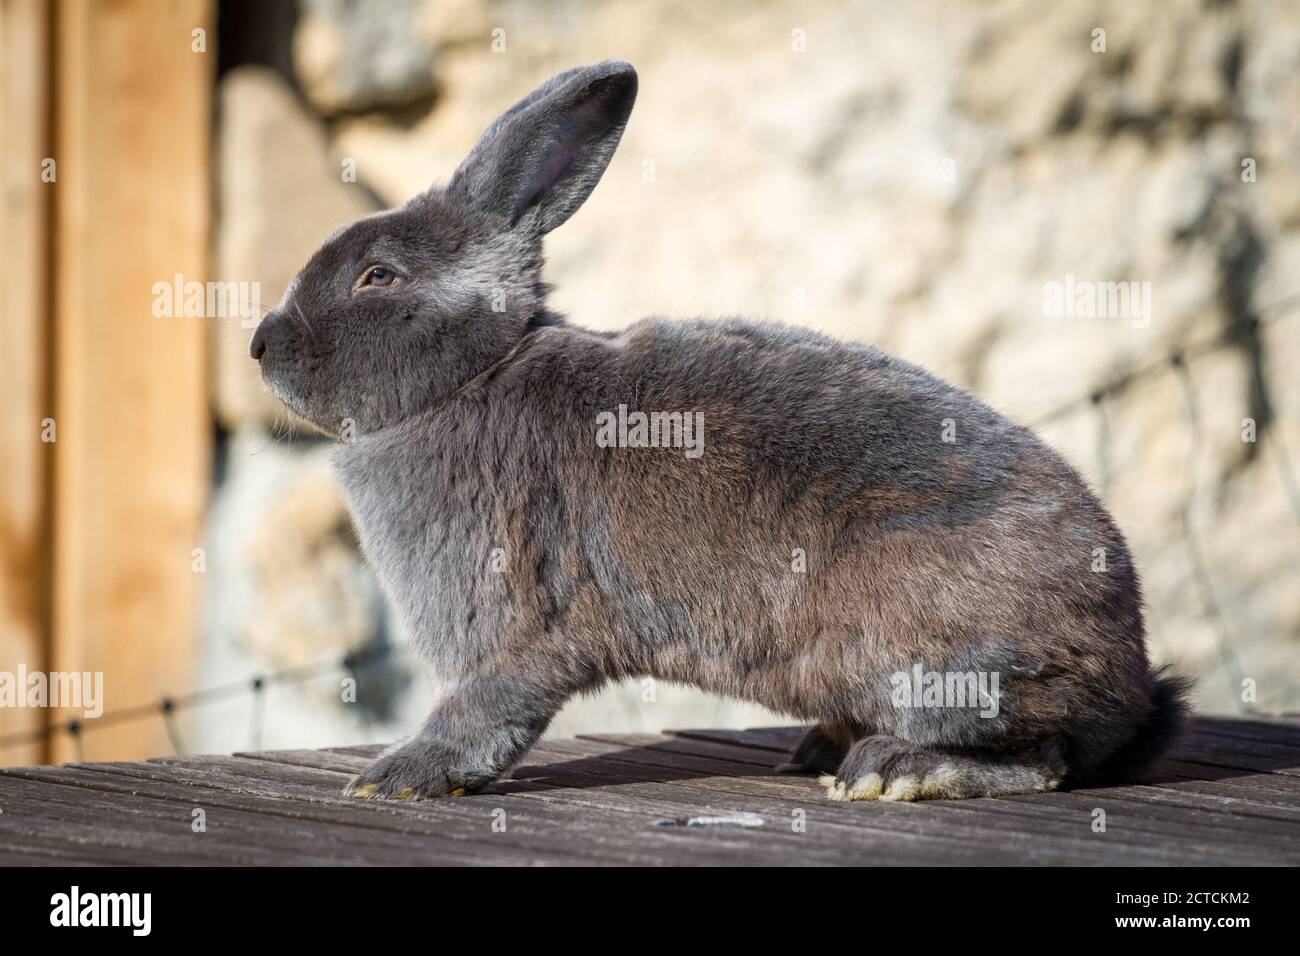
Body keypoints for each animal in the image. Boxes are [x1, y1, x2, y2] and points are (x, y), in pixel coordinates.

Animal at [250, 59, 1189, 803]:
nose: (261, 345)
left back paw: (894, 770)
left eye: (378, 275)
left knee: (1045, 758)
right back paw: (824, 749)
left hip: (943, 661)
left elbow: (481, 714)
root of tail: (1128, 669)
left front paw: (394, 778)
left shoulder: (507, 628)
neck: (473, 373)